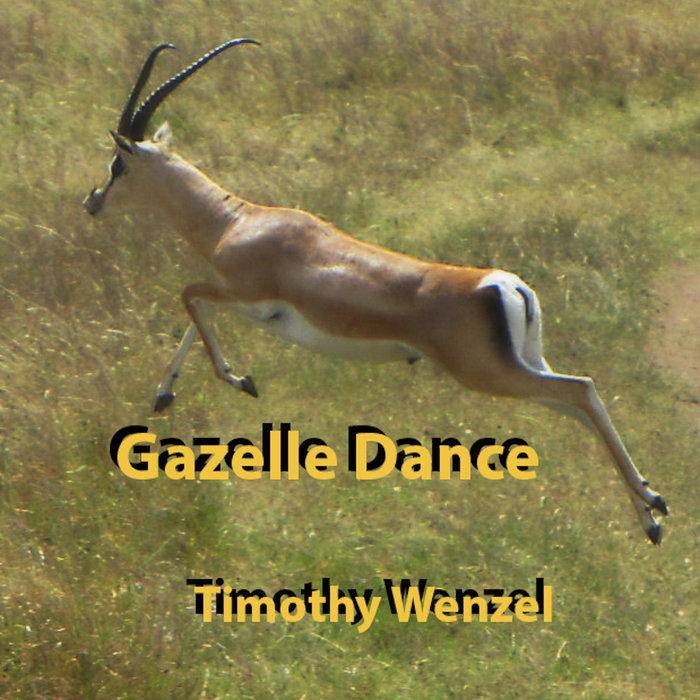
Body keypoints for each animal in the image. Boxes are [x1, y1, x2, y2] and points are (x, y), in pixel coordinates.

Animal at [84, 40, 668, 543]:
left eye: (117, 164)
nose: (92, 201)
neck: (237, 221)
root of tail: (506, 284)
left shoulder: (245, 296)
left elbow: (188, 298)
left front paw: (237, 381)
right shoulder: (244, 303)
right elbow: (194, 314)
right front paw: (167, 394)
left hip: (490, 374)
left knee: (581, 390)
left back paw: (654, 511)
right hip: (524, 365)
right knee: (579, 403)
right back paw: (650, 511)